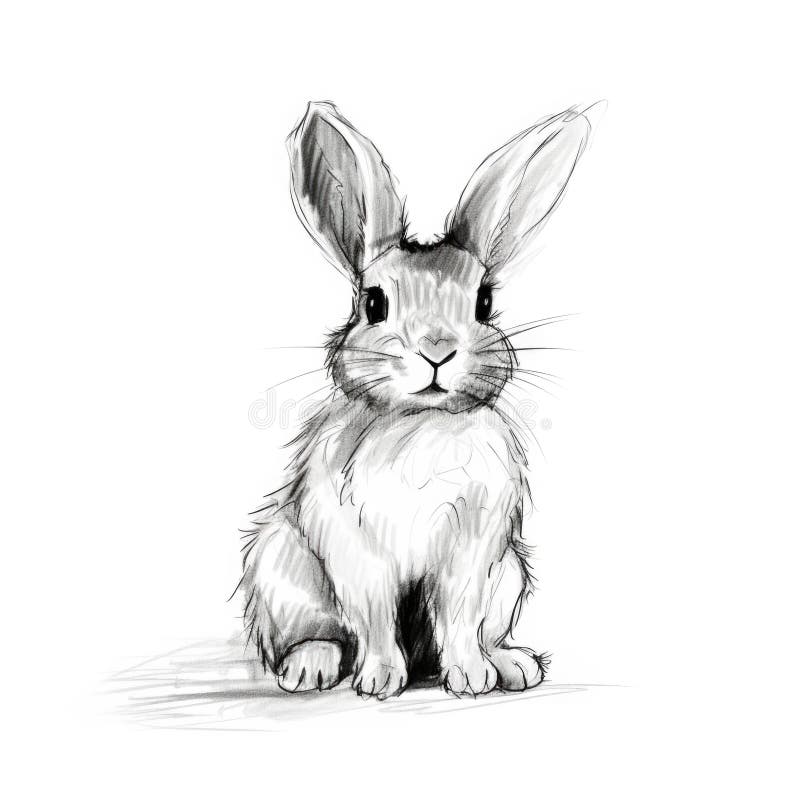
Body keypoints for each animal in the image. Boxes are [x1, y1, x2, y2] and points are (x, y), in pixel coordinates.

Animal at [239, 101, 595, 699]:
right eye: (373, 303)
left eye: (484, 301)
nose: (437, 351)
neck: (422, 424)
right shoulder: (354, 547)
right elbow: (375, 617)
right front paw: (380, 680)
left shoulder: (475, 546)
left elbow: (460, 613)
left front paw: (470, 677)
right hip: (282, 569)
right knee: (320, 633)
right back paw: (310, 668)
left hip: (510, 576)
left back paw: (512, 665)